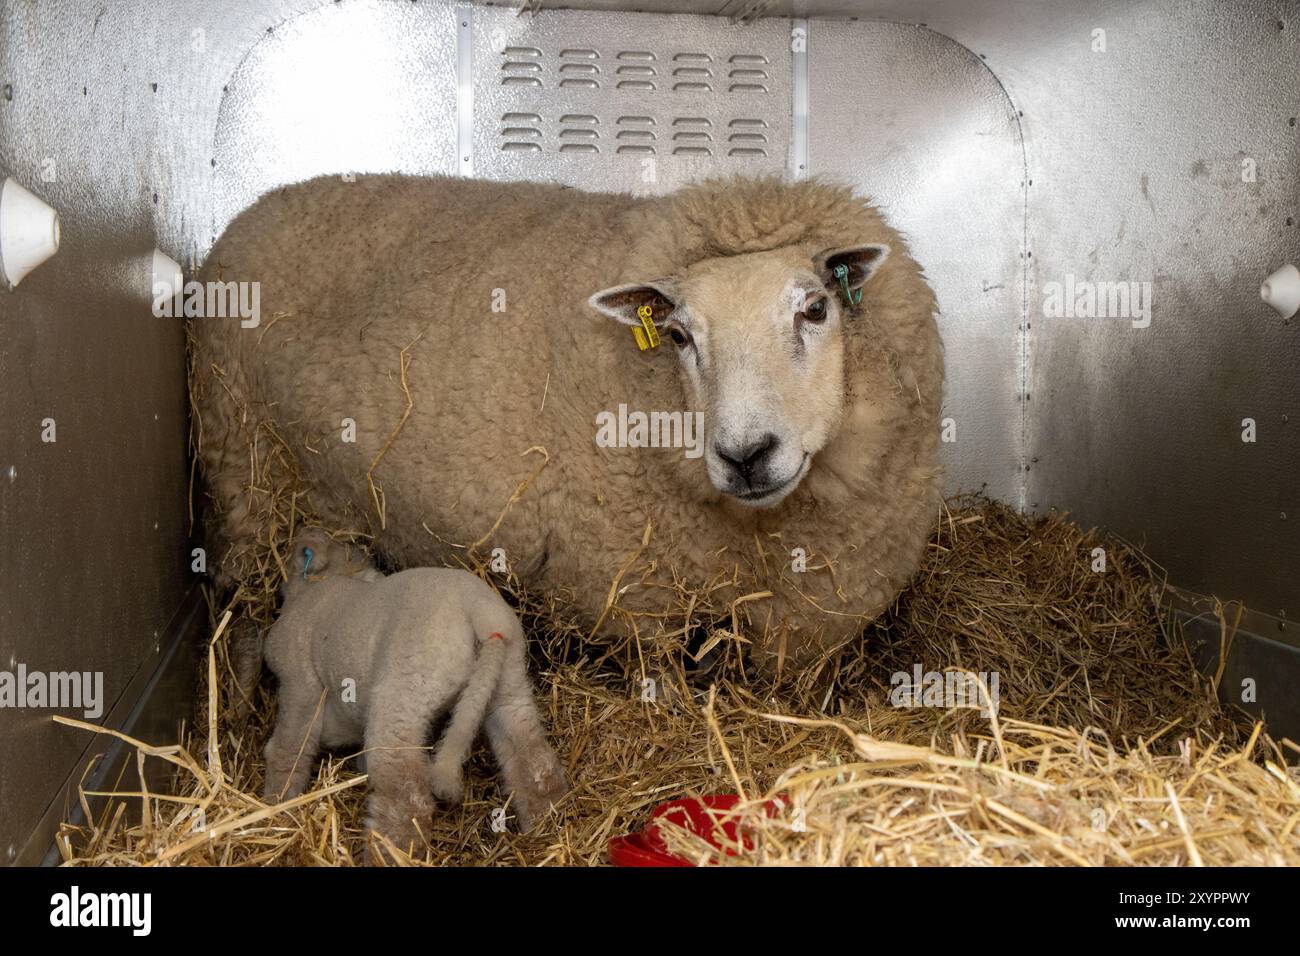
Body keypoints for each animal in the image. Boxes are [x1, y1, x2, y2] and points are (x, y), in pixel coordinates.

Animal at [191, 174, 943, 676]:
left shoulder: (804, 620)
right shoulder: (634, 599)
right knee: (244, 613)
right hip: (247, 477)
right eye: (678, 336)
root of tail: (253, 213)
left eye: (815, 310)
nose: (746, 454)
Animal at [262, 529, 569, 846]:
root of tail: (480, 614)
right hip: (508, 684)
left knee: (406, 800)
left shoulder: (300, 682)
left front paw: (276, 802)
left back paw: (389, 849)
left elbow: (289, 747)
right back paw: (544, 826)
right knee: (535, 760)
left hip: (404, 692)